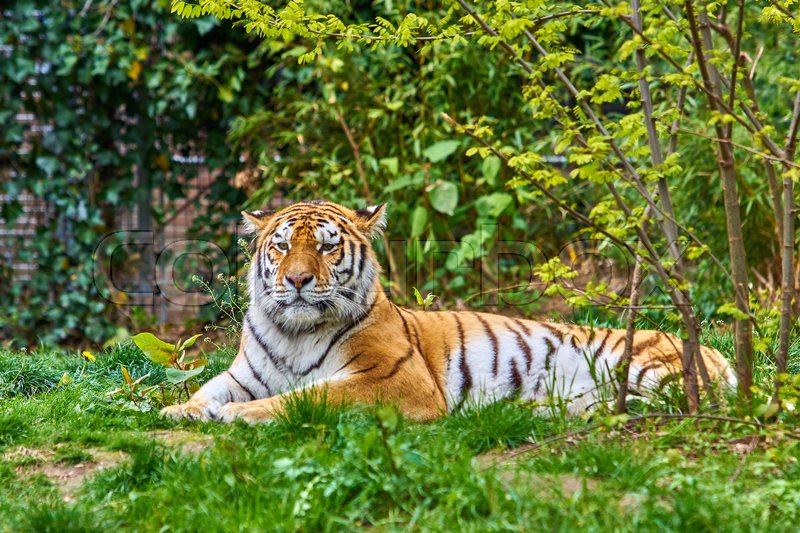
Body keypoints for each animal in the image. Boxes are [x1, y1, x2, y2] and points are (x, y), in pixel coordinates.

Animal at [160, 200, 736, 423]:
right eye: (281, 247)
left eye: (326, 247)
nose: (297, 280)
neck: (294, 333)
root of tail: (716, 351)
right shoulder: (246, 373)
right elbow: (207, 389)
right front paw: (178, 410)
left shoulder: (391, 380)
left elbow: (308, 397)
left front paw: (238, 416)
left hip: (647, 369)